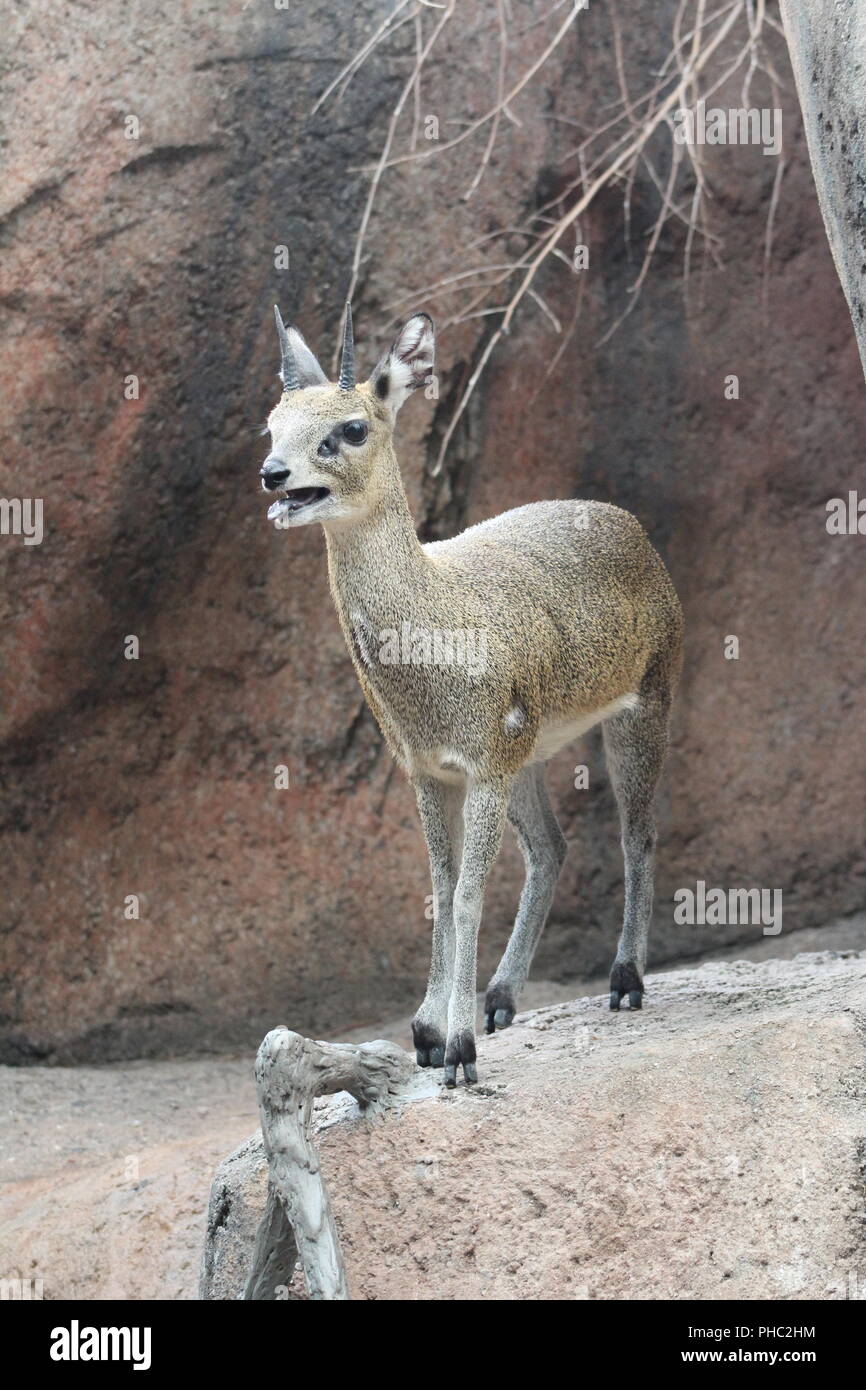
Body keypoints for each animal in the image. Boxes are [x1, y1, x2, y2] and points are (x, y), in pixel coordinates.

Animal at [261, 304, 683, 1087]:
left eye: (352, 427)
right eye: (272, 423)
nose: (274, 475)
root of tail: (627, 522)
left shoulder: (484, 763)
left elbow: (464, 895)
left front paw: (455, 1050)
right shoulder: (431, 771)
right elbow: (440, 883)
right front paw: (428, 1033)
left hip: (645, 702)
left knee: (636, 831)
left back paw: (624, 982)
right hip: (533, 752)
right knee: (551, 847)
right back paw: (500, 999)